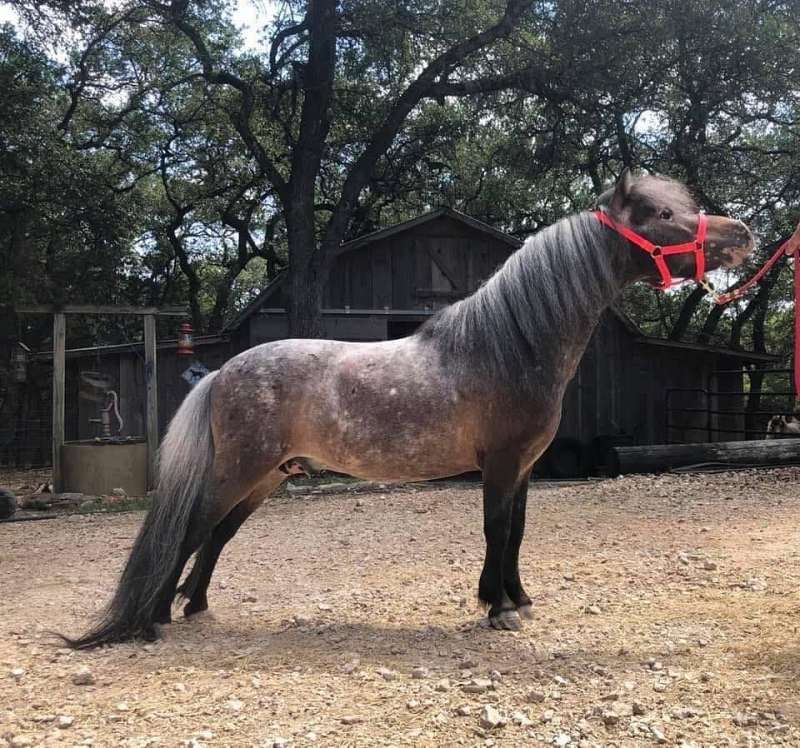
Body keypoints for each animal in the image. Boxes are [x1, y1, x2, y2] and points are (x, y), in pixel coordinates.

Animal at [65, 170, 754, 648]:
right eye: (663, 213)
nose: (742, 236)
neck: (508, 346)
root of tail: (222, 373)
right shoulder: (500, 464)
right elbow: (496, 530)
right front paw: (499, 610)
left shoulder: (526, 468)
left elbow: (518, 533)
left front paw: (518, 599)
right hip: (239, 471)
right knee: (191, 528)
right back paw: (155, 620)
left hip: (267, 478)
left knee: (217, 534)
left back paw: (196, 606)